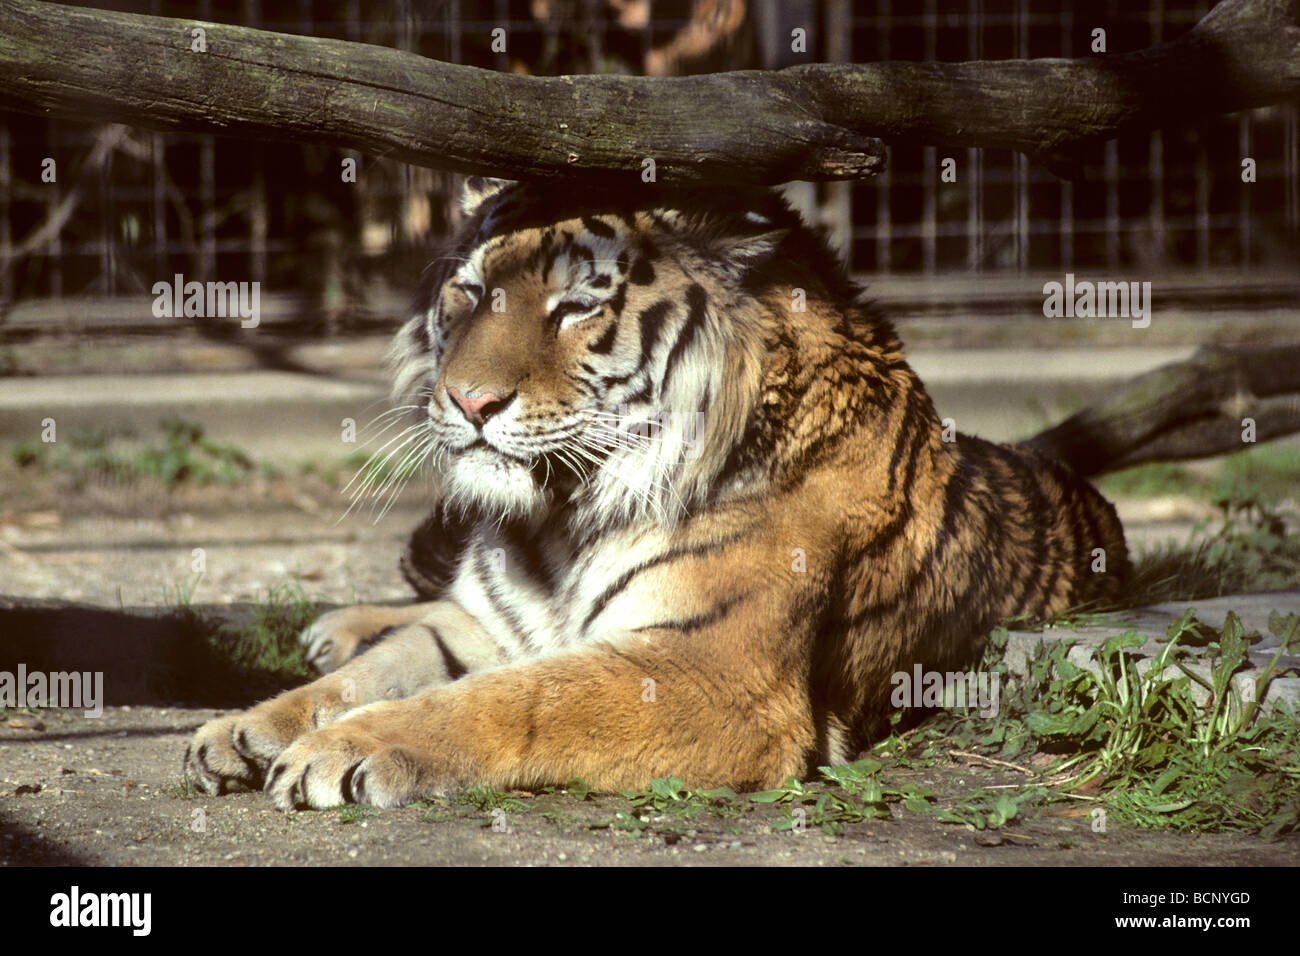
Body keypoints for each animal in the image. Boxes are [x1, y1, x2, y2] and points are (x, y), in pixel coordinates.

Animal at [184, 177, 1129, 809]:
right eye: (473, 292)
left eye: (573, 307)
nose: (469, 401)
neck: (561, 517)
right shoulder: (488, 626)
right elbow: (391, 664)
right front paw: (243, 729)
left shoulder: (707, 670)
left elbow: (515, 698)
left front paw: (334, 751)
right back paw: (333, 630)